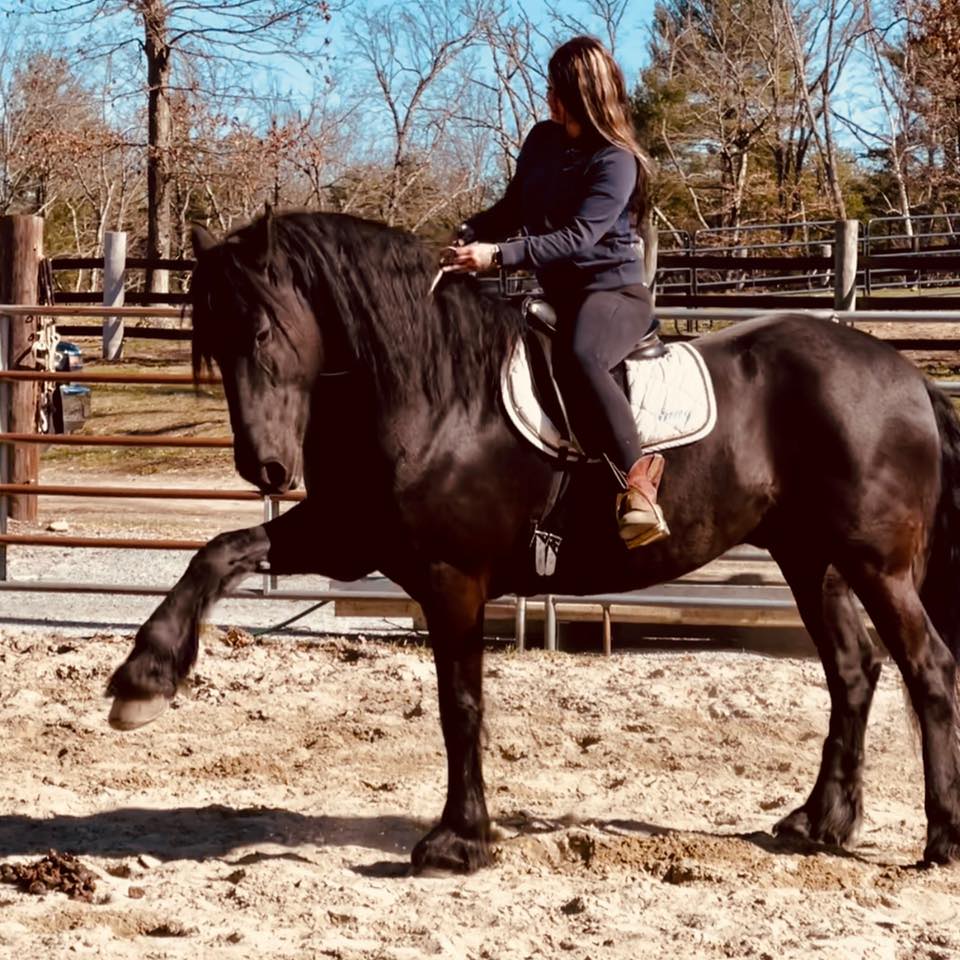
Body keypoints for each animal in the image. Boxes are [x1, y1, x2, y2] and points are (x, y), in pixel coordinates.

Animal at [106, 209, 960, 873]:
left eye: (262, 328)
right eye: (210, 341)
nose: (267, 467)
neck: (438, 395)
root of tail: (907, 377)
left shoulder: (450, 578)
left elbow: (460, 703)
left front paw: (458, 840)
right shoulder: (349, 540)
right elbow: (219, 551)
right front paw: (144, 678)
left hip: (876, 565)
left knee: (928, 670)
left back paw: (939, 840)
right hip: (813, 559)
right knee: (853, 672)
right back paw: (819, 823)